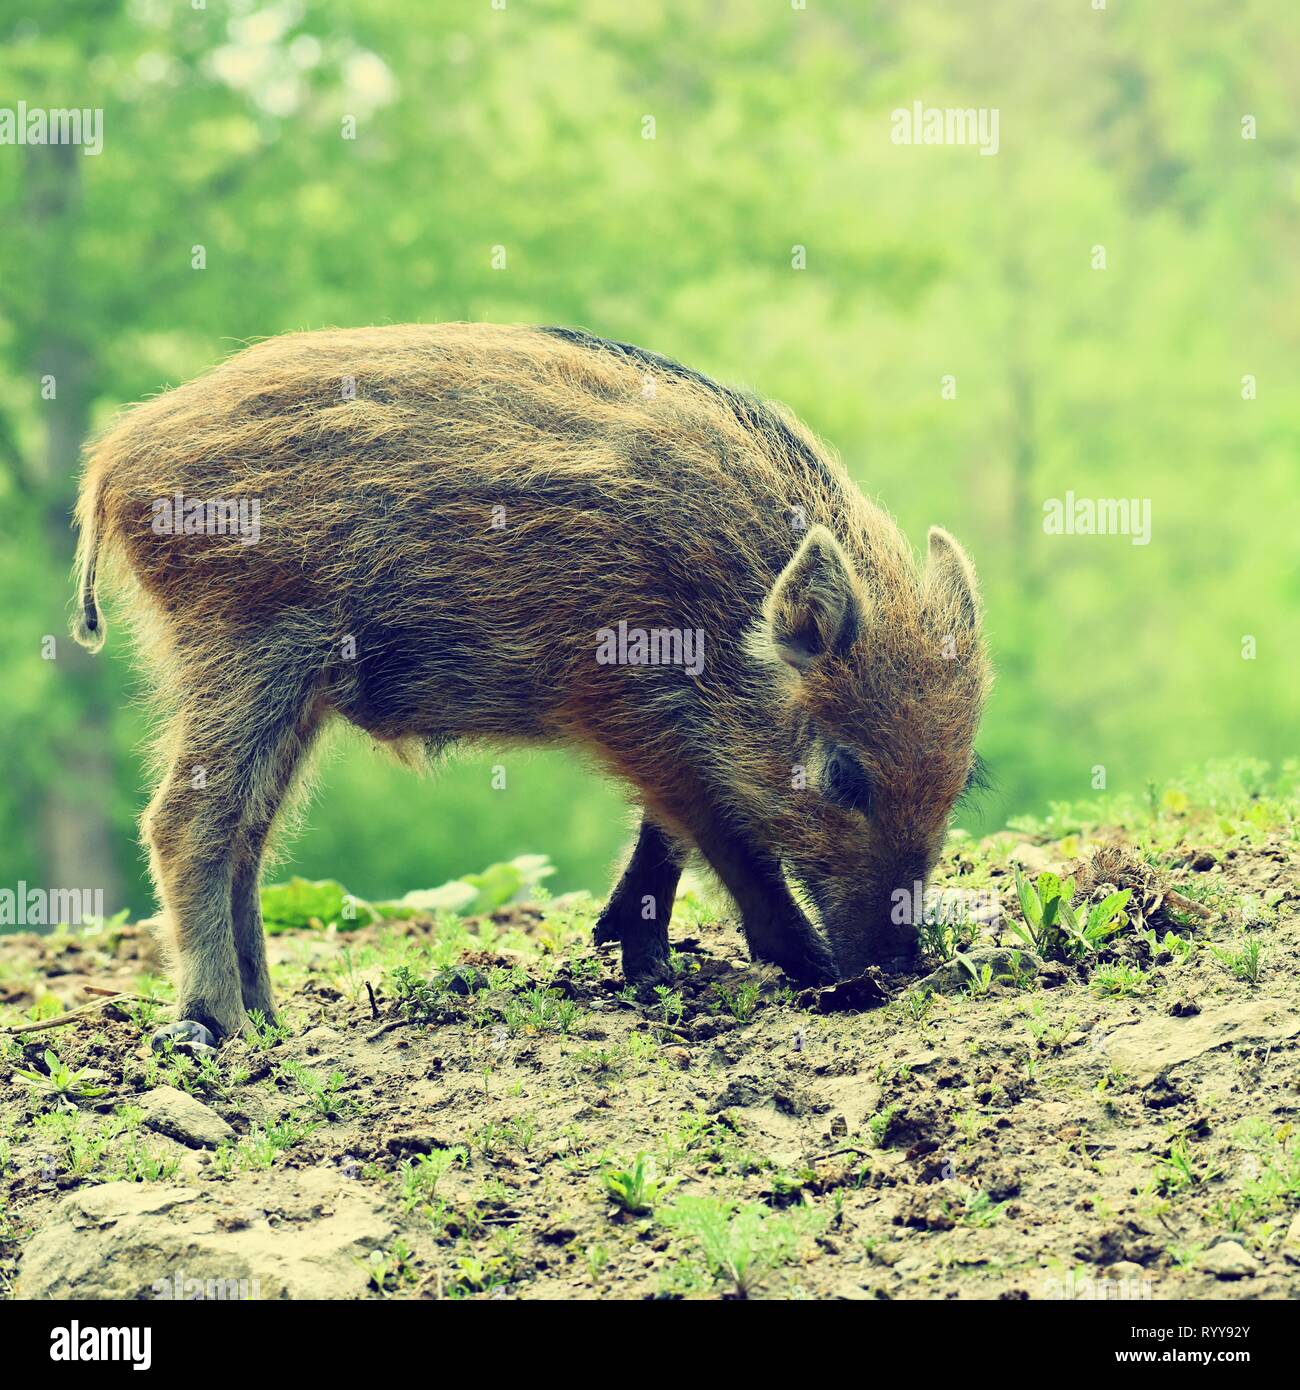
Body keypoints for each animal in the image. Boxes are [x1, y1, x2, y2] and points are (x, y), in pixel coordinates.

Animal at [71, 323, 991, 1042]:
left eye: (961, 781)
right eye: (843, 774)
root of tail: (110, 464)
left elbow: (666, 838)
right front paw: (810, 970)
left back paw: (269, 1020)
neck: (726, 619)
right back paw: (215, 1024)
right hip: (244, 645)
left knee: (251, 836)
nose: (899, 964)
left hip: (292, 690)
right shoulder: (628, 714)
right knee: (188, 822)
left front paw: (644, 965)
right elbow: (723, 839)